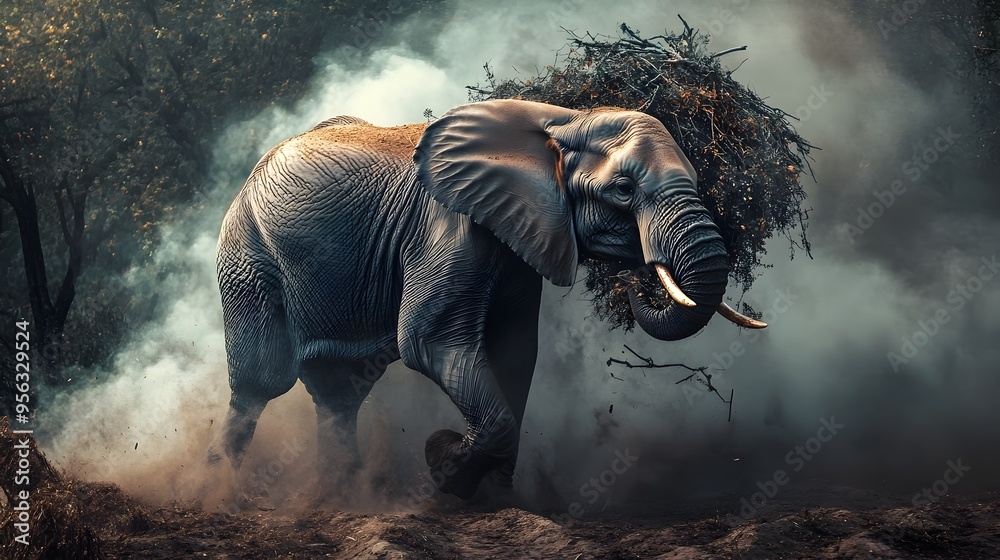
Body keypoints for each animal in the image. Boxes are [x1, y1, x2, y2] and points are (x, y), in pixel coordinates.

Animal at [212, 99, 764, 500]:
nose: (634, 283)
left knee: (339, 390)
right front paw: (443, 465)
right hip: (247, 252)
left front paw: (496, 498)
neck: (561, 122)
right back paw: (223, 488)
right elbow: (431, 344)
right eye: (624, 189)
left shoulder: (520, 242)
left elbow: (514, 353)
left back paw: (338, 497)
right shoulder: (448, 227)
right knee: (262, 381)